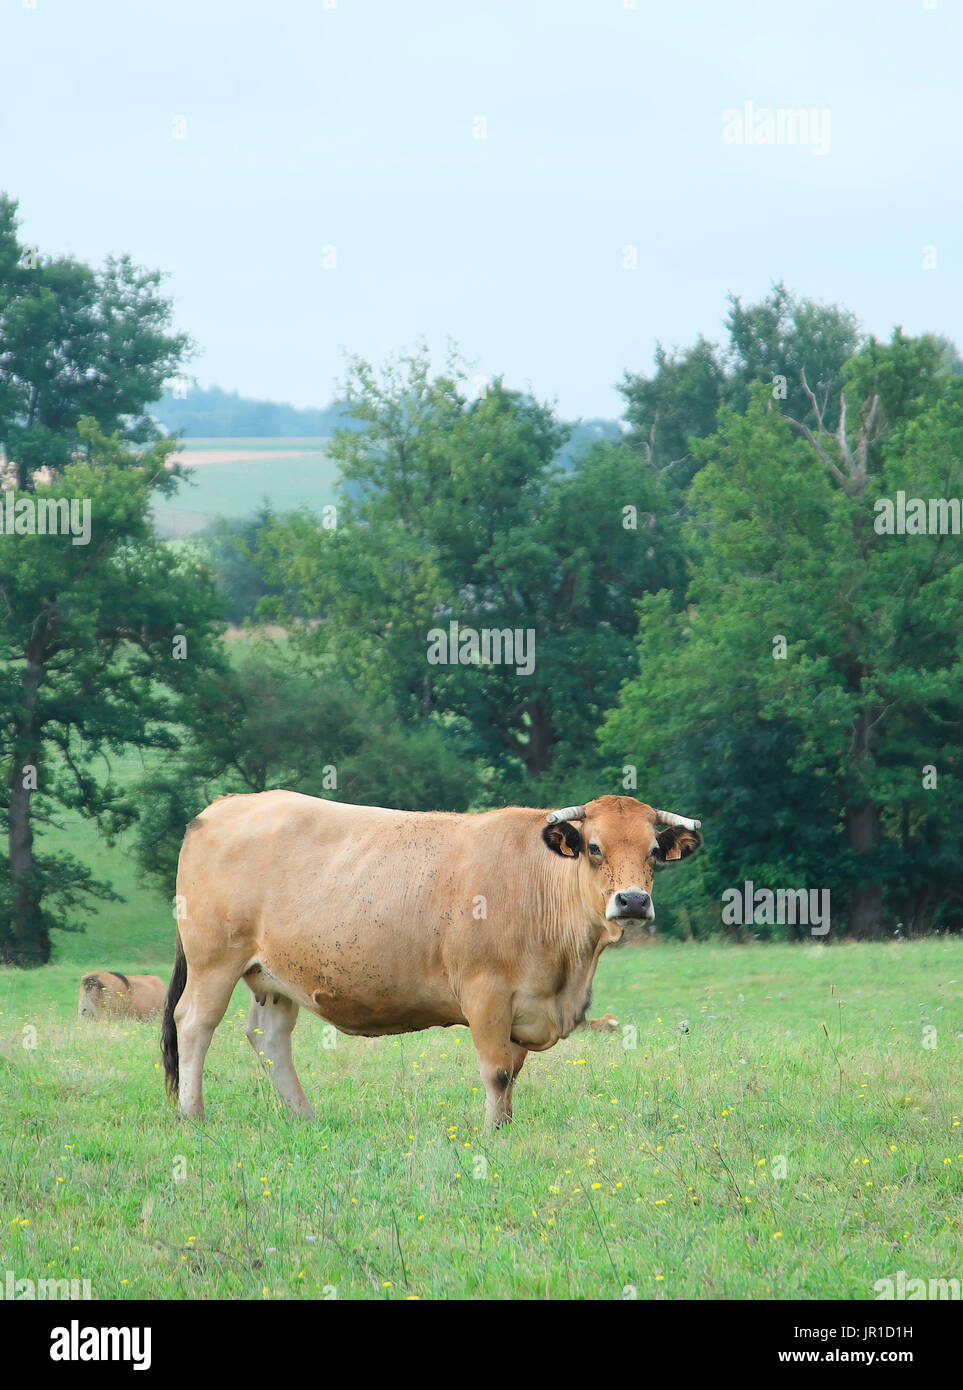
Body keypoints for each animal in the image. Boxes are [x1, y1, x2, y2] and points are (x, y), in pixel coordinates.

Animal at [161, 792, 702, 1129]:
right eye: (593, 847)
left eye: (654, 852)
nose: (632, 901)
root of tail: (226, 805)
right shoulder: (486, 993)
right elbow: (496, 1071)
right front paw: (493, 1134)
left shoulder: (524, 1006)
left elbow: (513, 1073)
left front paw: (506, 1125)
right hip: (214, 961)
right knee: (194, 1024)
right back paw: (193, 1115)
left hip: (274, 975)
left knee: (269, 1038)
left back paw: (304, 1116)